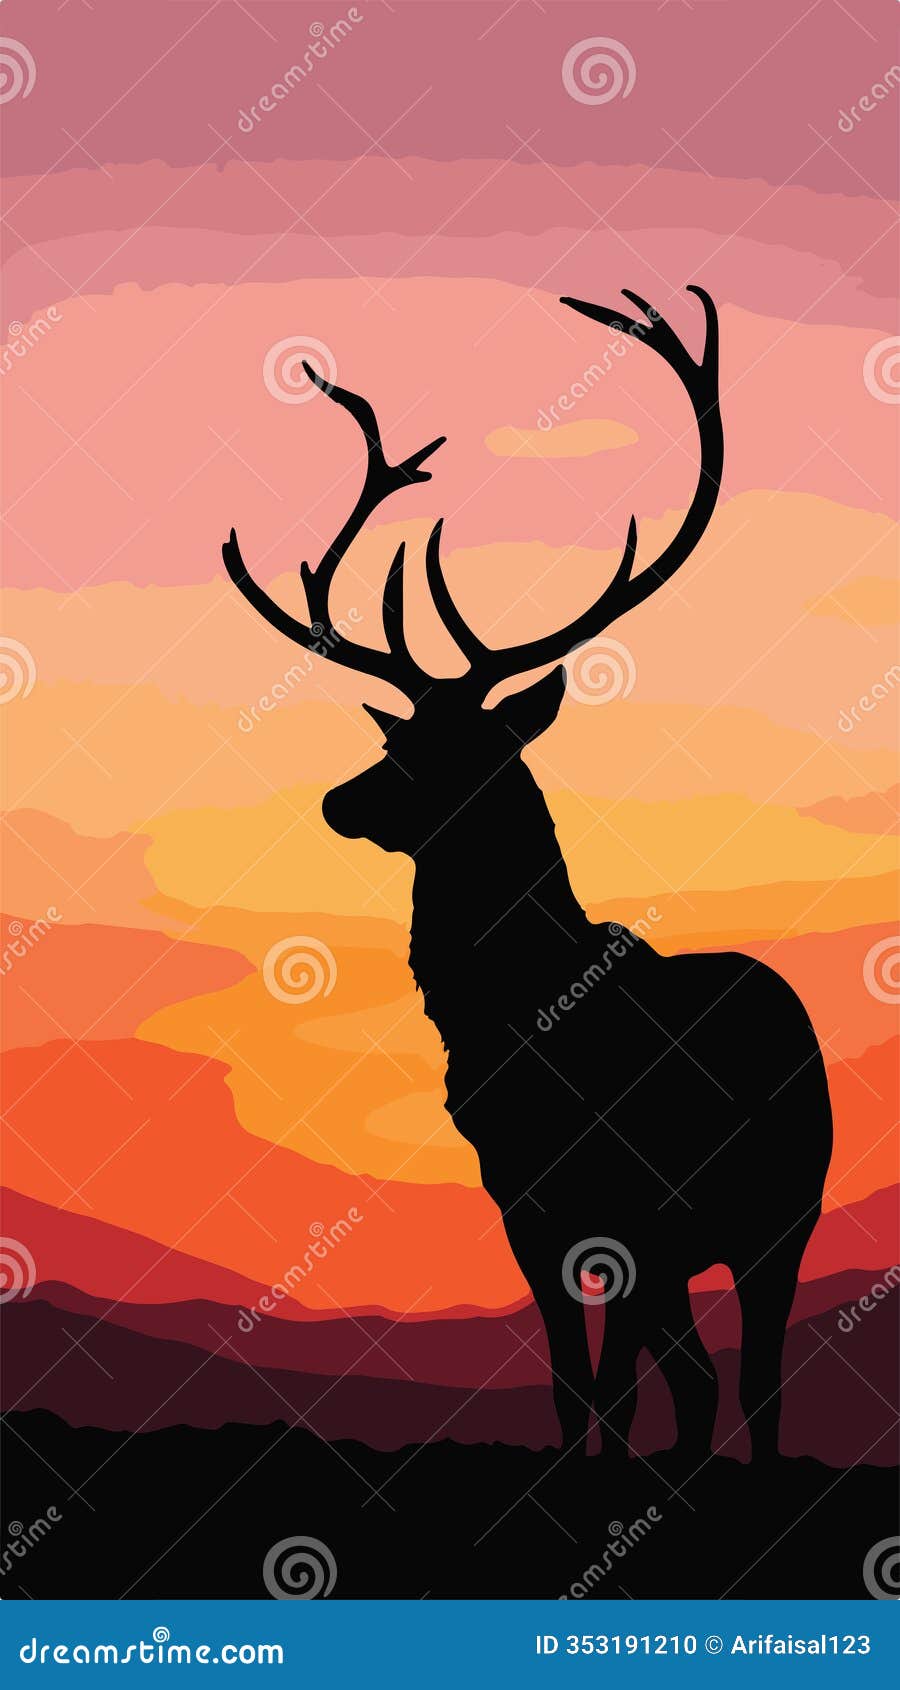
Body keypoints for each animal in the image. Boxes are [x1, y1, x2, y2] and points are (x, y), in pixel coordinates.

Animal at [224, 287, 833, 1468]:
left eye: (461, 753)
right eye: (398, 734)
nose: (338, 801)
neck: (521, 1019)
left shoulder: (631, 1207)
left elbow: (616, 1388)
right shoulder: (522, 1205)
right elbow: (568, 1386)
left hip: (779, 1214)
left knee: (754, 1384)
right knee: (709, 1383)